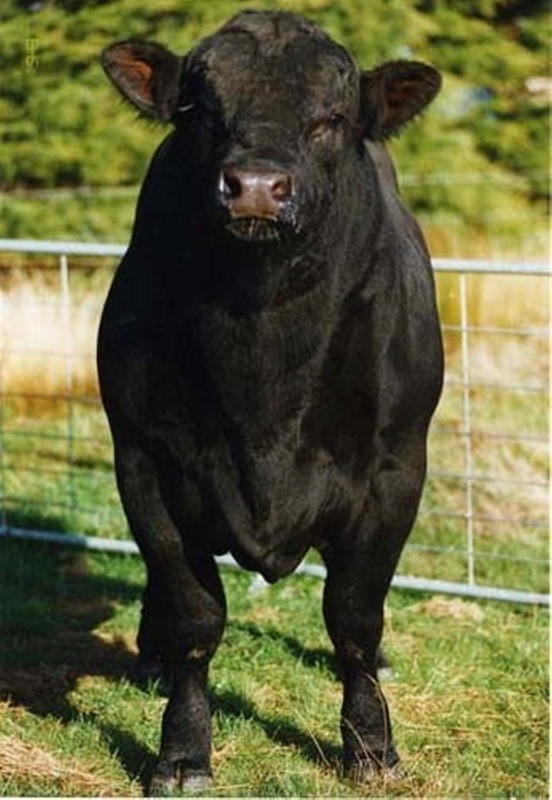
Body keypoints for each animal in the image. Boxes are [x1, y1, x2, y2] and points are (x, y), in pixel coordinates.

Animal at [98, 9, 444, 795]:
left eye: (331, 119)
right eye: (201, 110)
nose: (256, 186)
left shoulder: (396, 468)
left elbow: (354, 615)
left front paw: (372, 748)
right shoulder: (143, 458)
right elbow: (195, 616)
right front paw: (182, 754)